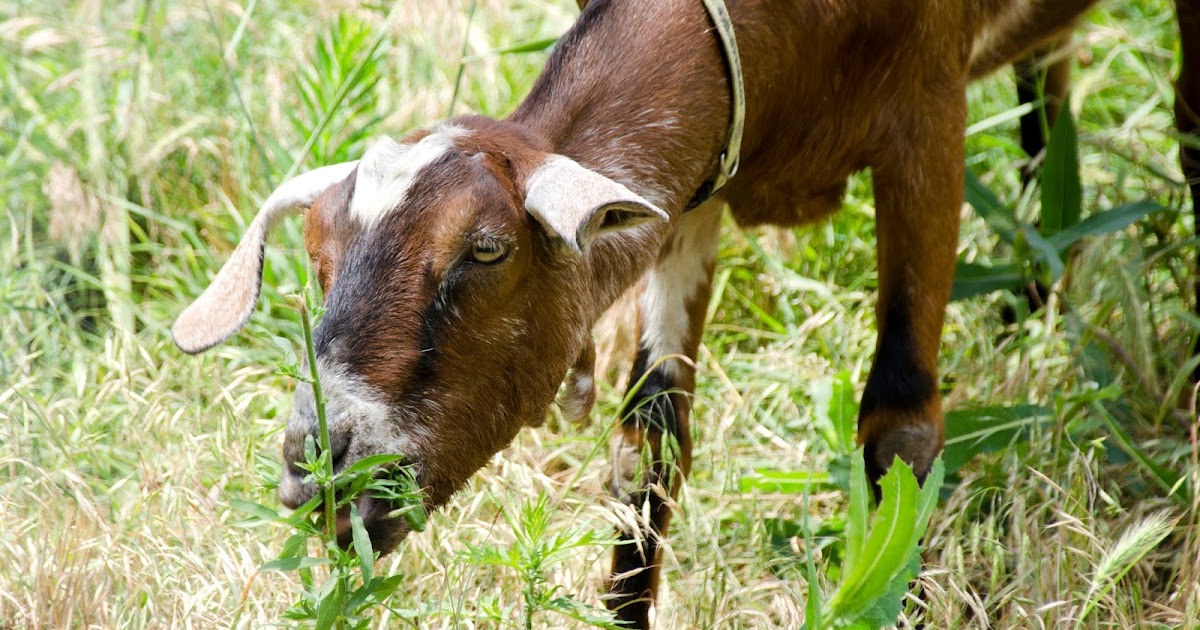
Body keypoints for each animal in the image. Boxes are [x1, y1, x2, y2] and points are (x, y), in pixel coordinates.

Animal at [173, 0, 1200, 626]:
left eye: (487, 249)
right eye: (317, 255)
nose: (323, 469)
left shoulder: (927, 115)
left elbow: (902, 418)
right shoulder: (698, 179)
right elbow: (651, 440)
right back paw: (1035, 291)